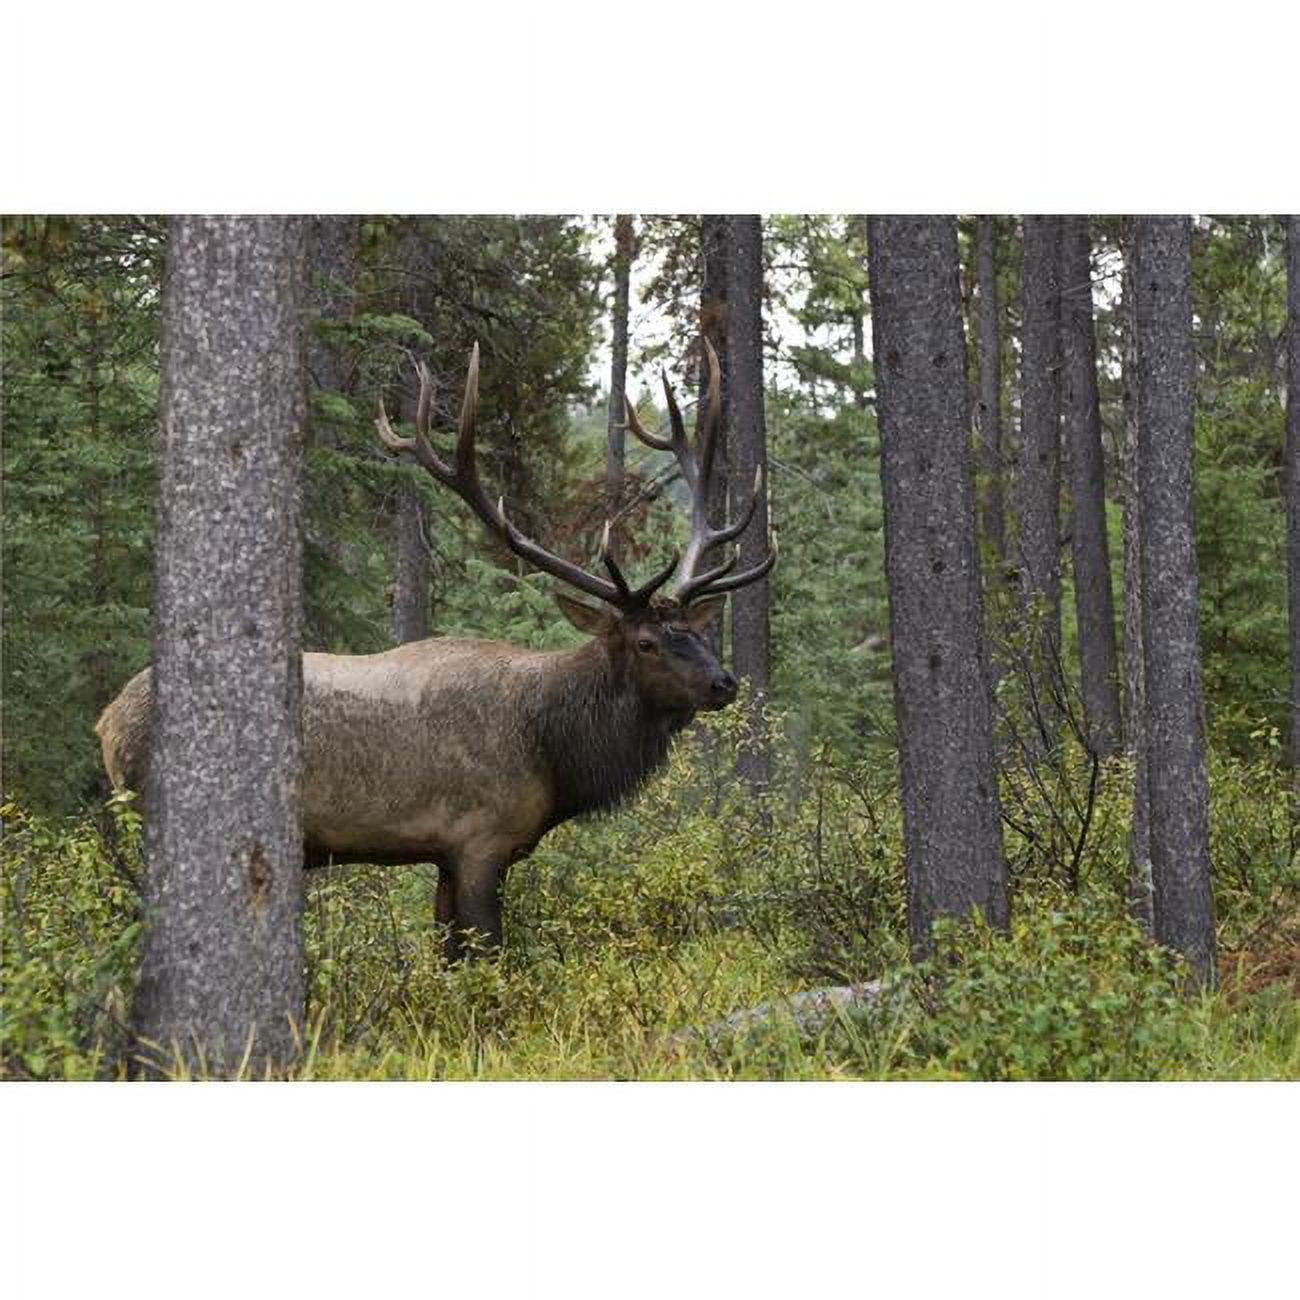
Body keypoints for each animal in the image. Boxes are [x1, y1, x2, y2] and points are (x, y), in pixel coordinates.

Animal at [96, 339, 775, 960]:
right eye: (646, 641)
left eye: (699, 632)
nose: (724, 683)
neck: (555, 752)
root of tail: (107, 719)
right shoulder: (480, 839)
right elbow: (487, 958)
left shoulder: (446, 854)